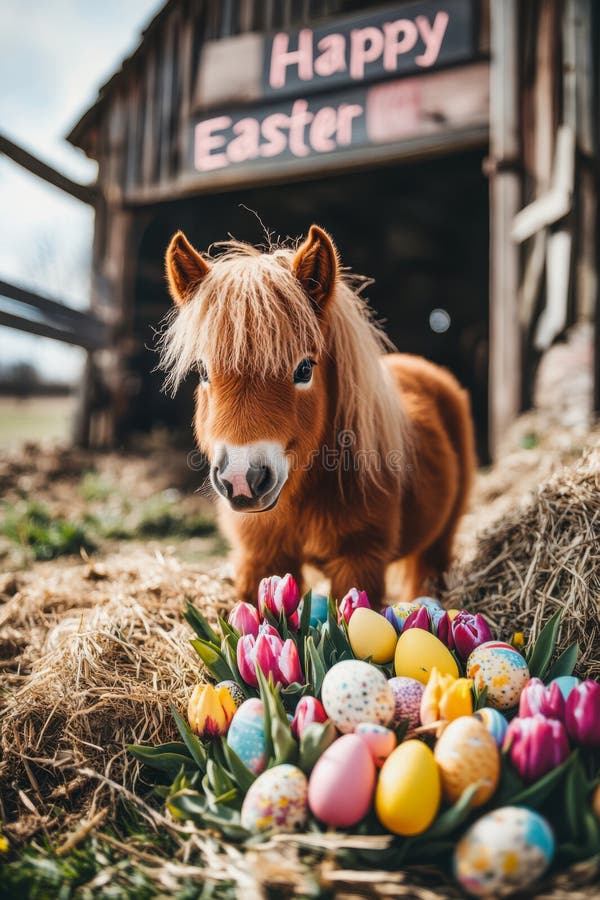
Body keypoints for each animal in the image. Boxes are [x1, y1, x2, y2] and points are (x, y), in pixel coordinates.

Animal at [160, 225, 475, 608]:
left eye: (304, 369)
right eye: (204, 371)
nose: (241, 479)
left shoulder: (358, 561)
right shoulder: (262, 558)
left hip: (438, 545)